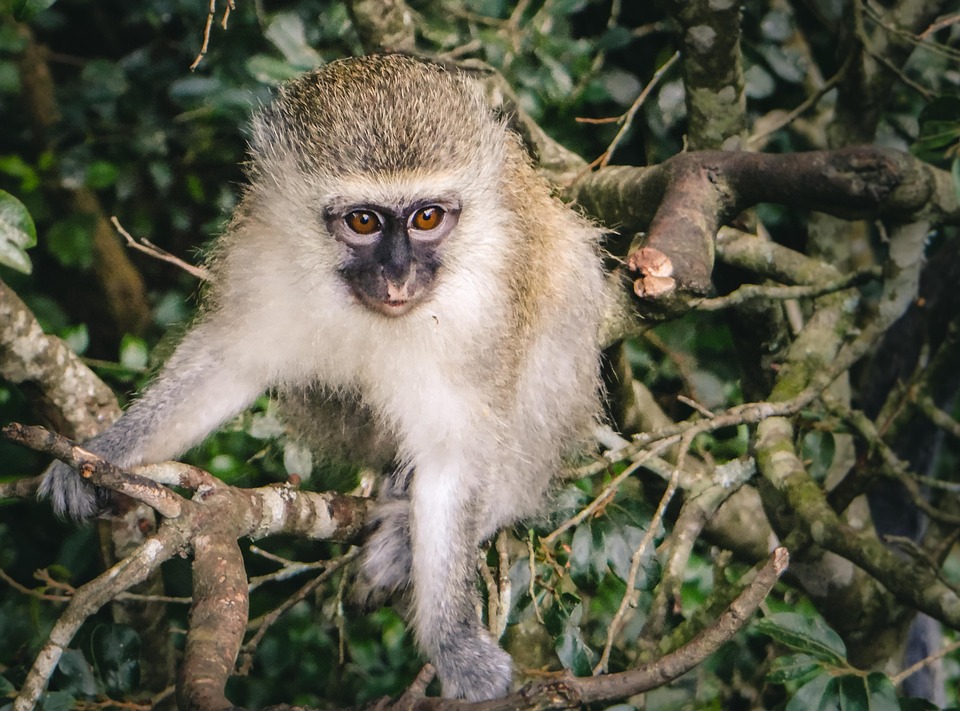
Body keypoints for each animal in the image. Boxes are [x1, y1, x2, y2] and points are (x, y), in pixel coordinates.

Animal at [40, 54, 609, 701]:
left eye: (428, 217)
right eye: (363, 221)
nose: (398, 275)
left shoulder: (483, 303)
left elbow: (455, 454)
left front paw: (454, 641)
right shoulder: (262, 252)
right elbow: (230, 363)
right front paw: (101, 454)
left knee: (562, 311)